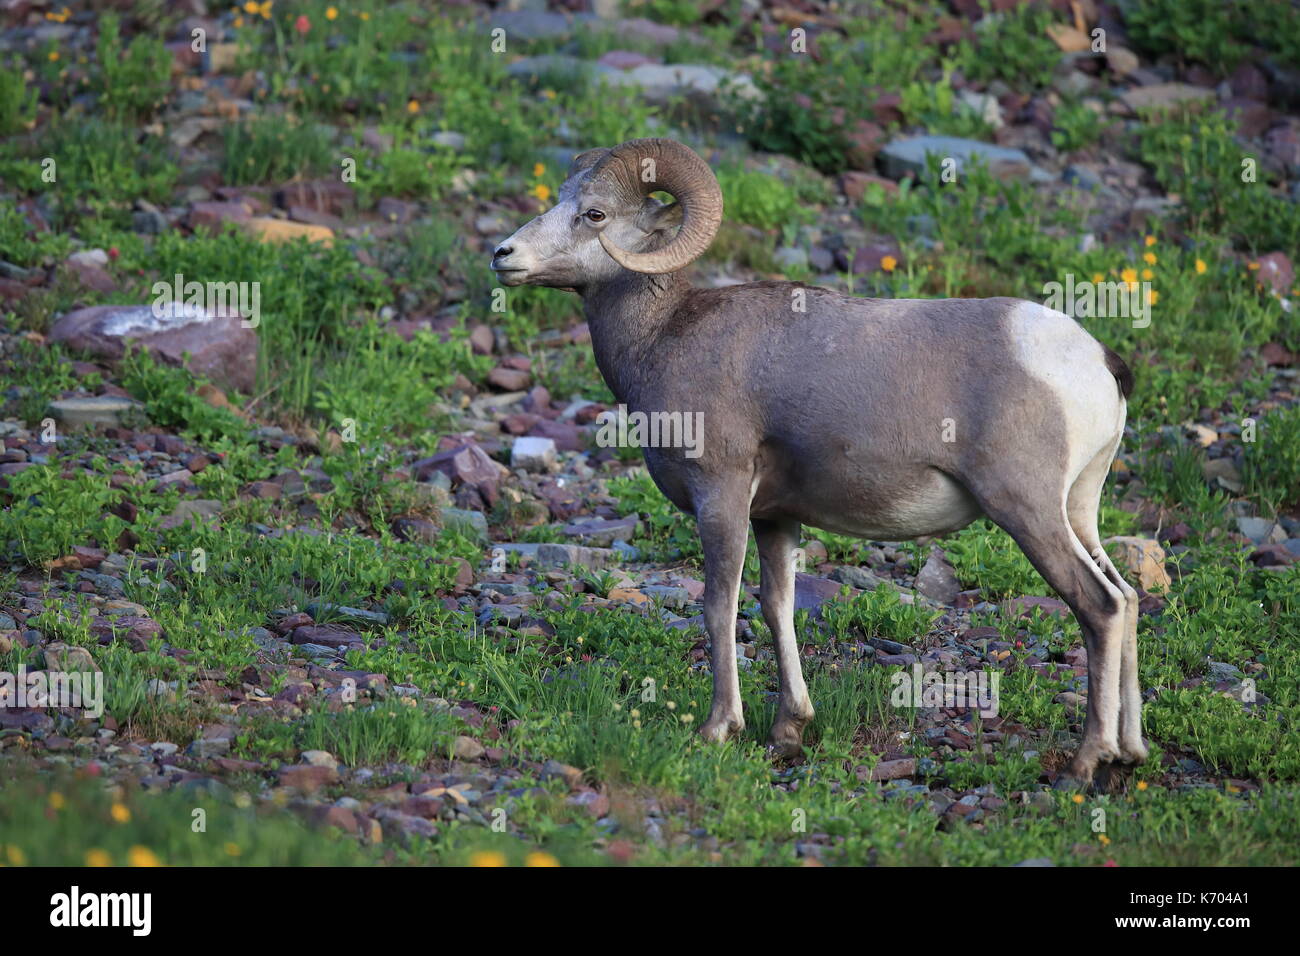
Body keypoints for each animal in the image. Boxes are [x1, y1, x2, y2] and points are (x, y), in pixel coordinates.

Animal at [490, 138, 1145, 788]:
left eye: (595, 214)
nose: (504, 255)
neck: (664, 338)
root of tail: (1096, 361)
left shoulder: (720, 497)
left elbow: (720, 606)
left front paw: (719, 729)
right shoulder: (774, 518)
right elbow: (776, 608)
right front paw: (787, 731)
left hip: (1027, 511)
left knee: (1101, 606)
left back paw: (1087, 763)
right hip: (1077, 513)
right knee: (1129, 597)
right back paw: (1131, 753)